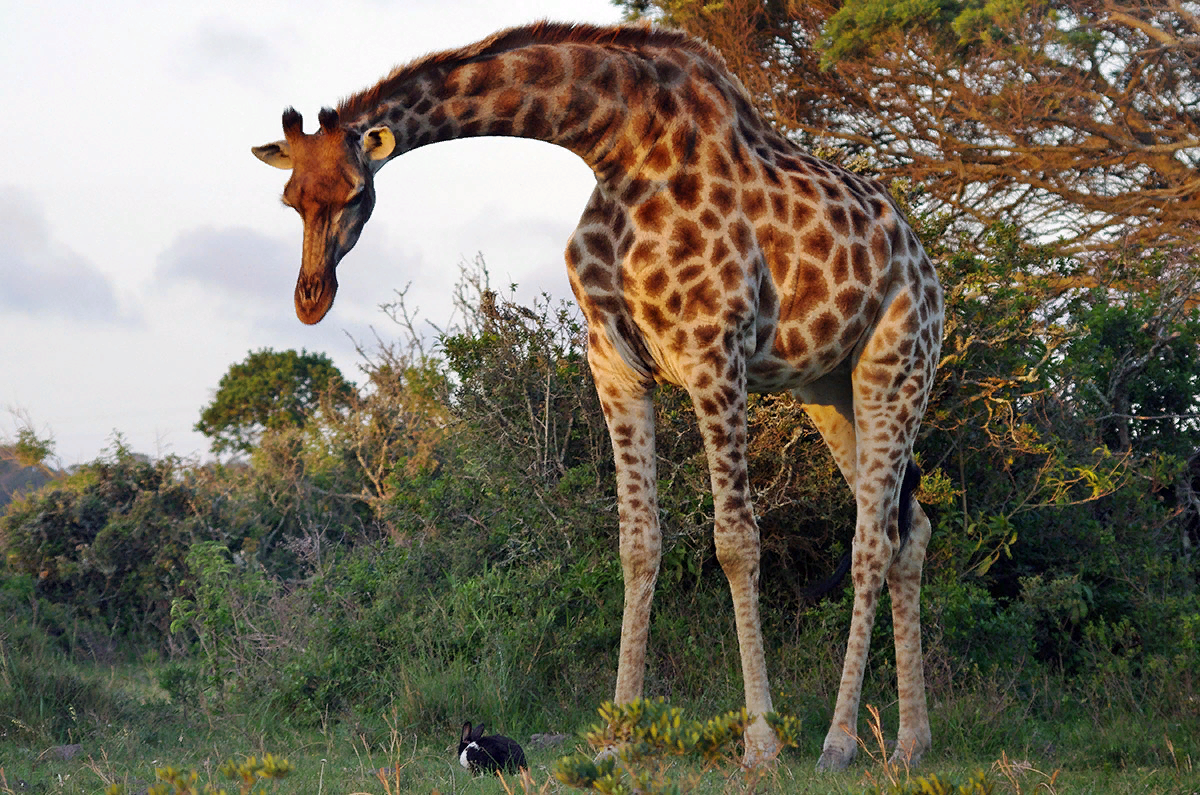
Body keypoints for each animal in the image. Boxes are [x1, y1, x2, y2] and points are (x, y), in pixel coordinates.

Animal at [255, 23, 945, 773]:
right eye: (290, 197)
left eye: (356, 192)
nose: (311, 299)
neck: (615, 142)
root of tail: (925, 267)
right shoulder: (614, 363)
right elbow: (638, 544)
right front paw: (619, 736)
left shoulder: (714, 351)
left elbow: (735, 540)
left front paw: (761, 741)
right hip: (826, 387)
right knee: (910, 528)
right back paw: (911, 742)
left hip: (895, 367)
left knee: (872, 539)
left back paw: (839, 741)